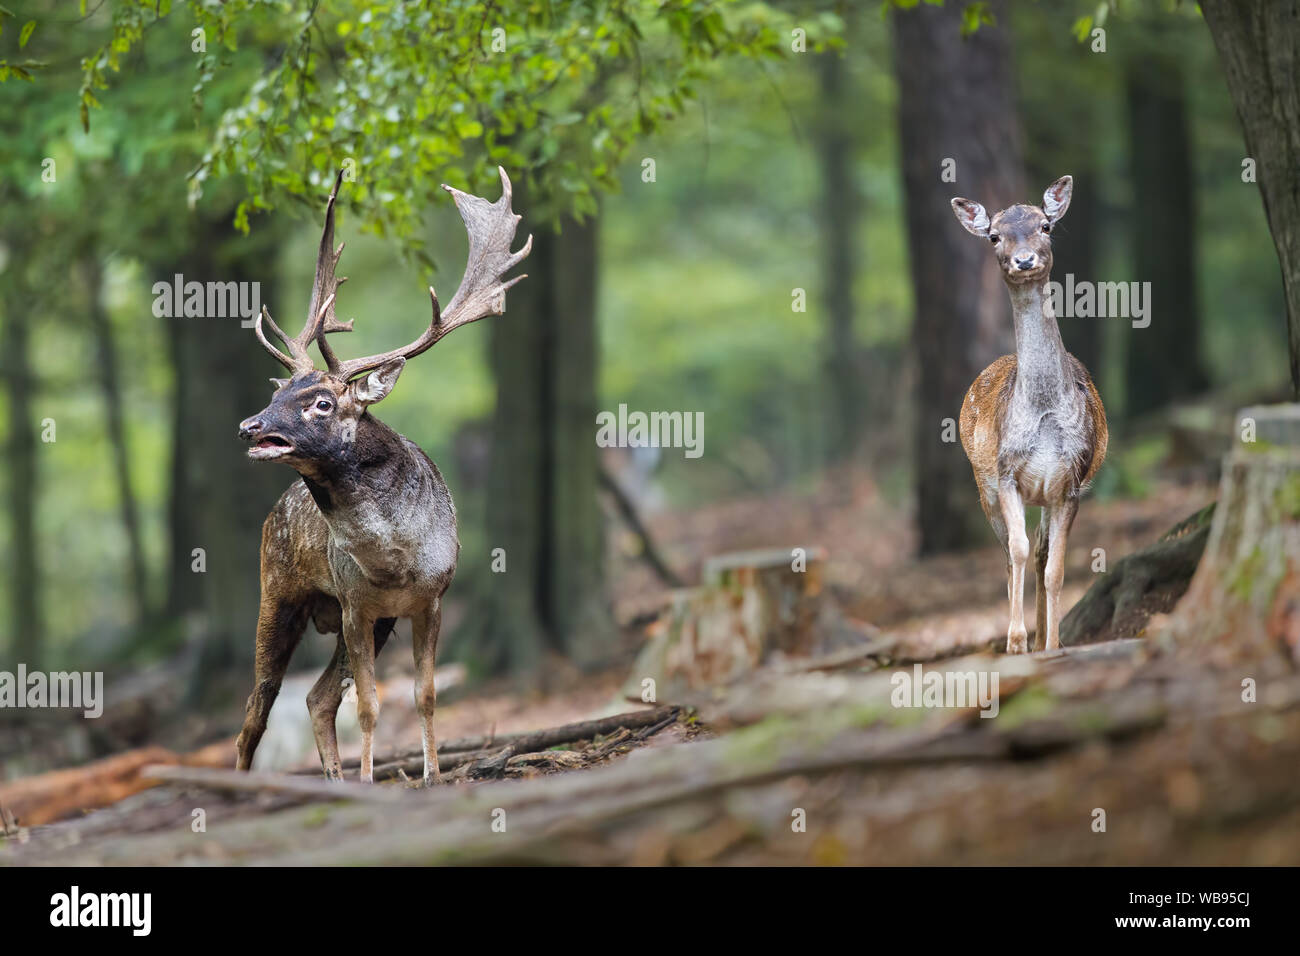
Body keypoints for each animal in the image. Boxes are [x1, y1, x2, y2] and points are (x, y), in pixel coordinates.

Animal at [233, 167, 531, 784]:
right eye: (278, 392)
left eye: (321, 402)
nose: (251, 425)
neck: (394, 559)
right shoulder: (355, 603)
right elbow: (370, 704)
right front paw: (375, 778)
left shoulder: (429, 599)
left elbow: (425, 695)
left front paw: (434, 775)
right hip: (279, 593)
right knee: (257, 711)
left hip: (358, 620)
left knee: (316, 697)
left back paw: (335, 781)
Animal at [950, 175, 1107, 655]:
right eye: (993, 235)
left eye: (1046, 226)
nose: (1024, 260)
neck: (1043, 412)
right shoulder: (1005, 474)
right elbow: (1016, 552)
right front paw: (1016, 641)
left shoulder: (1069, 482)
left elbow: (1055, 567)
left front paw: (1052, 643)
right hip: (982, 484)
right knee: (1007, 553)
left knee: (1039, 552)